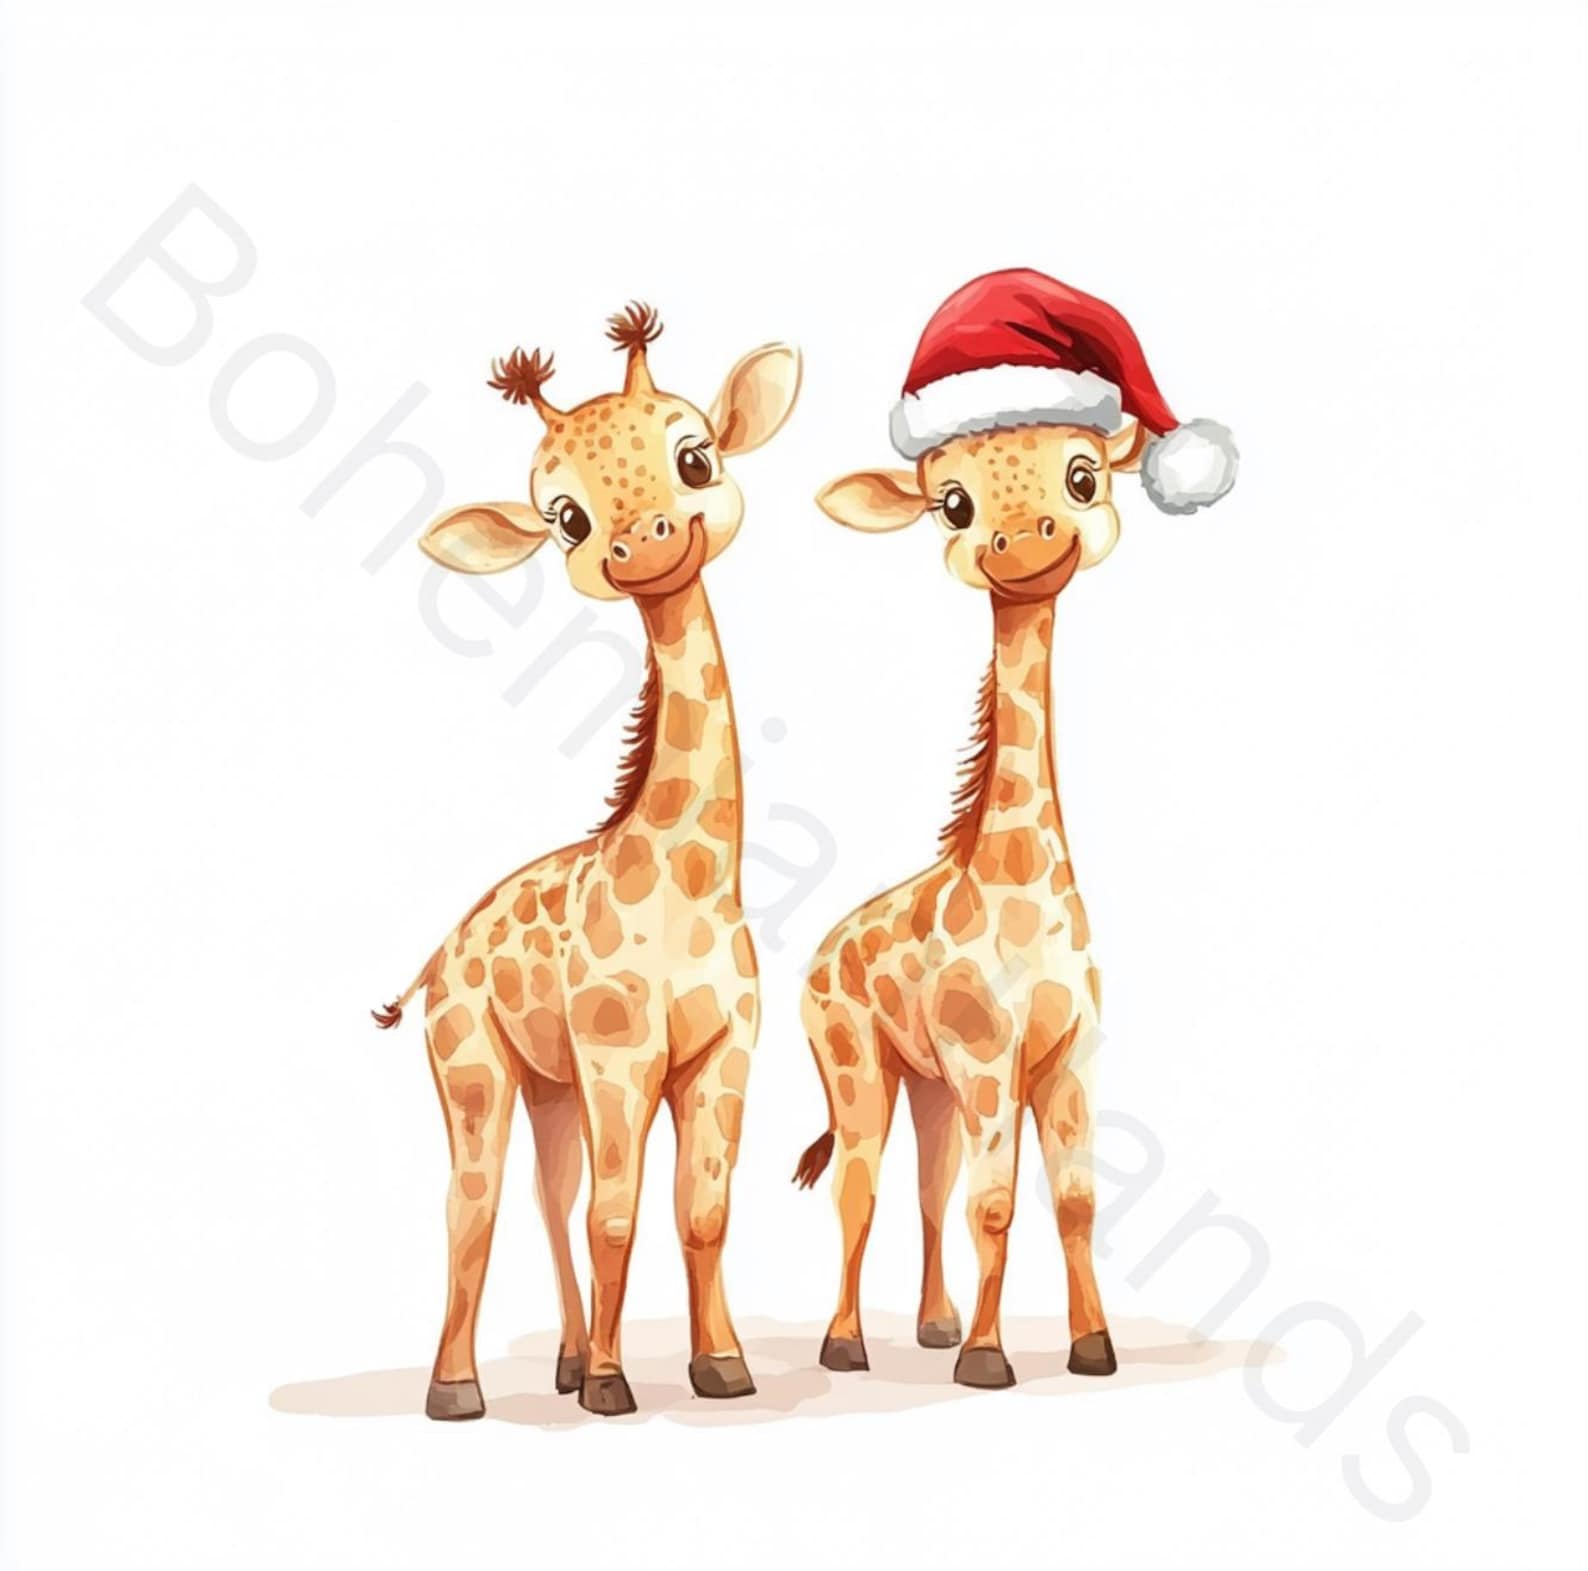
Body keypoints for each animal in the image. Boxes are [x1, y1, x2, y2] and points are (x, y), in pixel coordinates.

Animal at [373, 303, 801, 1419]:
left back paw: (564, 1359)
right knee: (472, 1201)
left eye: (694, 456)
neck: (694, 878)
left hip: (547, 1081)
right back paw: (459, 1387)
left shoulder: (723, 1051)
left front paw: (718, 1366)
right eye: (563, 517)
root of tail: (439, 956)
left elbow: (700, 1209)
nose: (641, 543)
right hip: (473, 1063)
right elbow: (623, 1211)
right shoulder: (621, 1052)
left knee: (546, 1195)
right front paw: (615, 1383)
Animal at [795, 268, 1235, 1388]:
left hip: (928, 1081)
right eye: (951, 503)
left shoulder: (1067, 1055)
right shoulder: (990, 1056)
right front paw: (988, 1360)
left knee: (924, 1185)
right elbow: (998, 1203)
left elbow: (1071, 1198)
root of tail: (820, 949)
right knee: (858, 1184)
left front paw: (1089, 1346)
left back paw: (932, 1323)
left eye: (1082, 476)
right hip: (857, 1061)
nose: (1025, 541)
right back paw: (845, 1342)